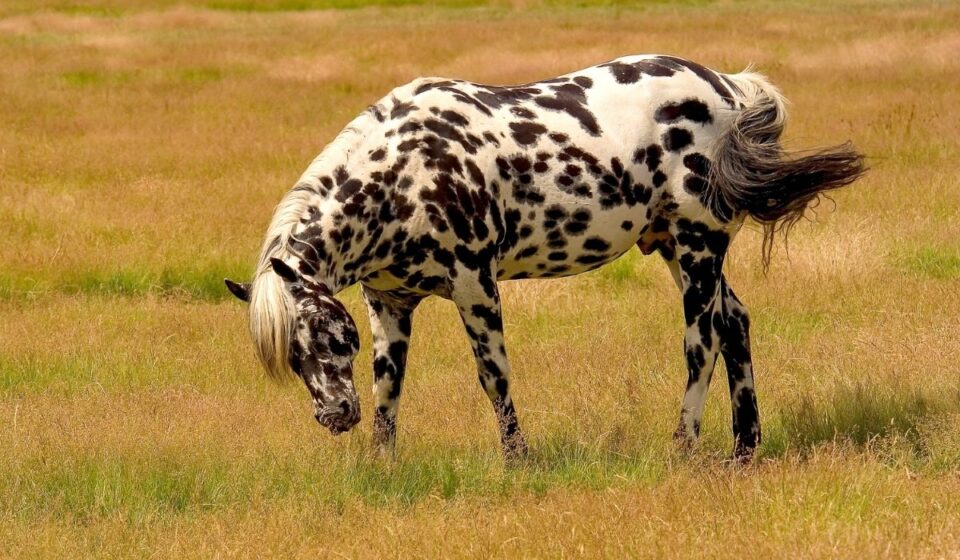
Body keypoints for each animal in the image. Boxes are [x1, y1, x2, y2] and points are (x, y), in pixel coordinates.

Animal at [225, 54, 865, 461]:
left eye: (327, 336)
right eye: (290, 354)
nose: (335, 416)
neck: (403, 174)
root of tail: (729, 89)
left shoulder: (474, 284)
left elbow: (493, 376)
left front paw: (518, 459)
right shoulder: (389, 302)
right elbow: (389, 387)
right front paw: (381, 461)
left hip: (697, 244)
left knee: (702, 341)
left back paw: (682, 447)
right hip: (674, 247)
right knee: (735, 324)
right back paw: (743, 448)